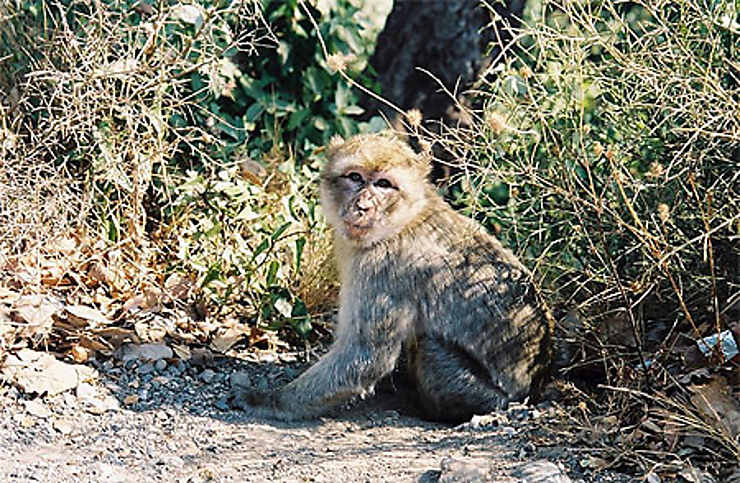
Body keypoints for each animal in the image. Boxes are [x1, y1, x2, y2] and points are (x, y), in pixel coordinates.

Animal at [230, 132, 551, 423]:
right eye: (355, 177)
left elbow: (365, 357)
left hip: (484, 395)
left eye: (384, 184)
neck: (403, 221)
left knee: (428, 345)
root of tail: (535, 383)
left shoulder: (382, 269)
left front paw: (269, 400)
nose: (362, 206)